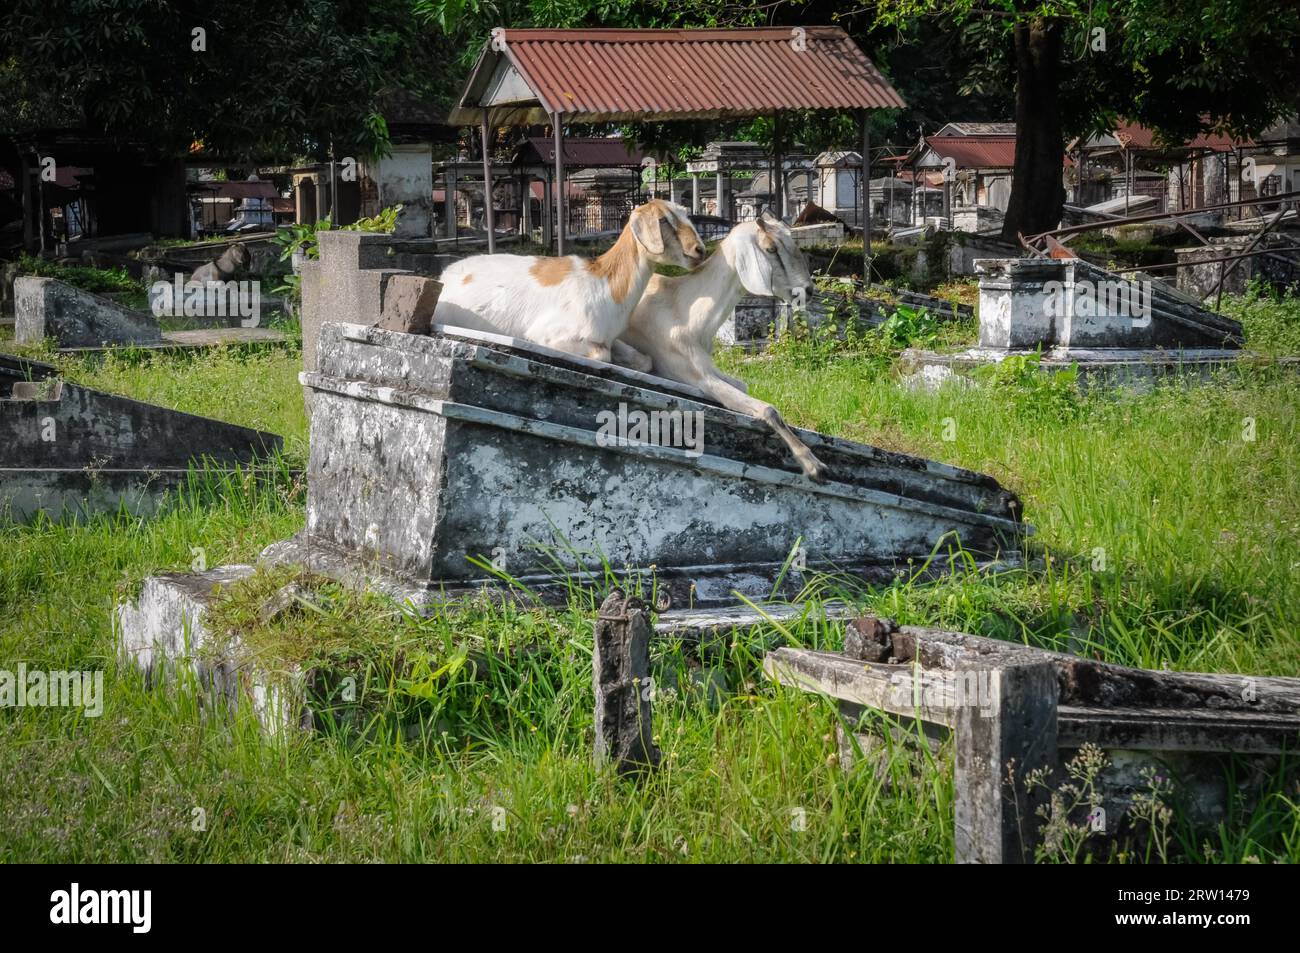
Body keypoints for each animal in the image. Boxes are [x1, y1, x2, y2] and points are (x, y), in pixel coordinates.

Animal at [433, 200, 705, 362]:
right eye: (664, 220)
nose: (699, 250)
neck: (606, 285)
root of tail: (445, 274)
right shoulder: (550, 333)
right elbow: (602, 355)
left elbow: (643, 361)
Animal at [615, 212, 830, 483]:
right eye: (771, 248)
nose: (808, 290)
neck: (684, 310)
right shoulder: (699, 376)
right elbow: (769, 409)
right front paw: (813, 464)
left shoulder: (710, 367)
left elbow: (746, 387)